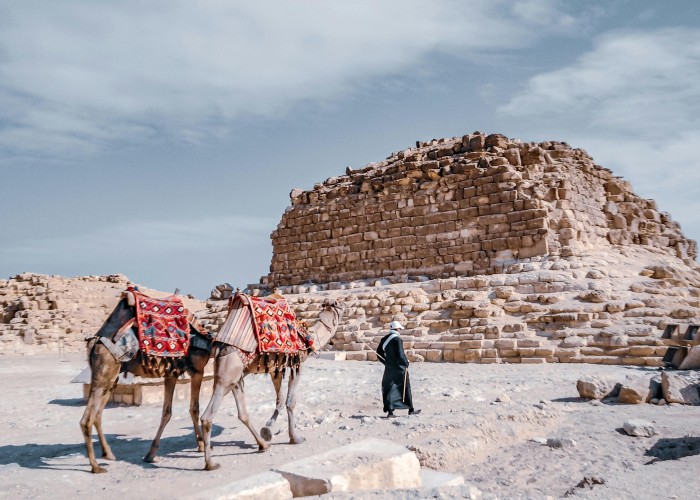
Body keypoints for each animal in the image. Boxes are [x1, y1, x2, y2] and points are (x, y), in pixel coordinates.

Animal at [80, 290, 212, 473]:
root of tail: (94, 342)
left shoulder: (171, 374)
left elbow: (167, 412)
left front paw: (152, 453)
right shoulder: (197, 371)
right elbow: (194, 408)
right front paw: (200, 445)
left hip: (110, 379)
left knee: (97, 415)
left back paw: (108, 454)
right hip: (104, 373)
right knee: (87, 419)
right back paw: (95, 467)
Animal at [201, 296, 344, 471]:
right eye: (340, 303)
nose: (344, 304)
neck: (308, 337)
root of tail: (219, 346)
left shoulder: (276, 368)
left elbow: (280, 400)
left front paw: (267, 430)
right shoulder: (297, 363)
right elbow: (290, 402)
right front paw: (295, 438)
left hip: (234, 378)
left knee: (242, 413)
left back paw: (262, 445)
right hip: (228, 374)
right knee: (207, 416)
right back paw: (210, 463)